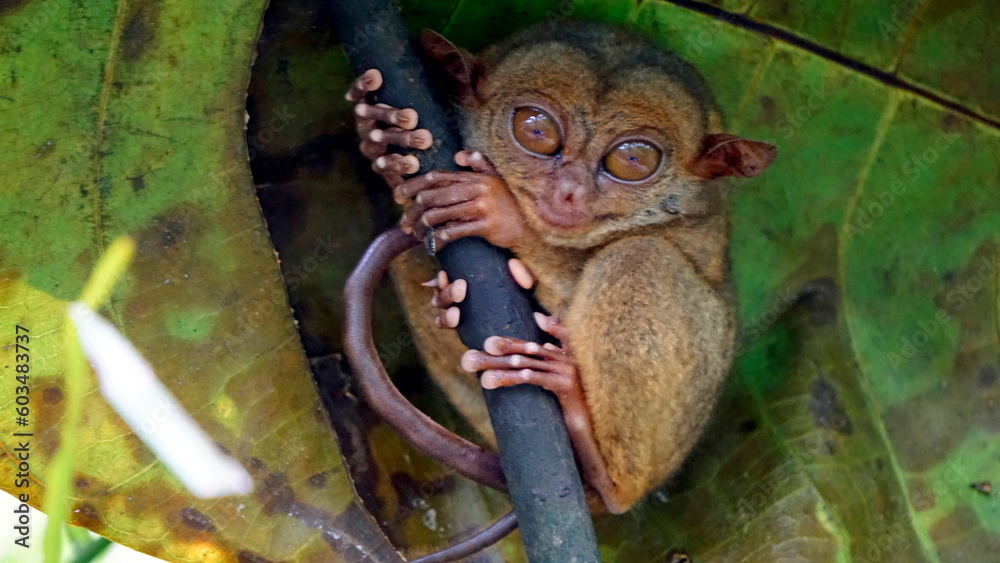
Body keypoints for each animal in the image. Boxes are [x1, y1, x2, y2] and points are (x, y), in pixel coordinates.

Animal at [344, 21, 776, 516]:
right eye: (536, 131)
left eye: (632, 160)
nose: (570, 191)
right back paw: (446, 301)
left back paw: (599, 458)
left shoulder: (696, 231)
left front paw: (501, 213)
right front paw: (380, 137)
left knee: (638, 257)